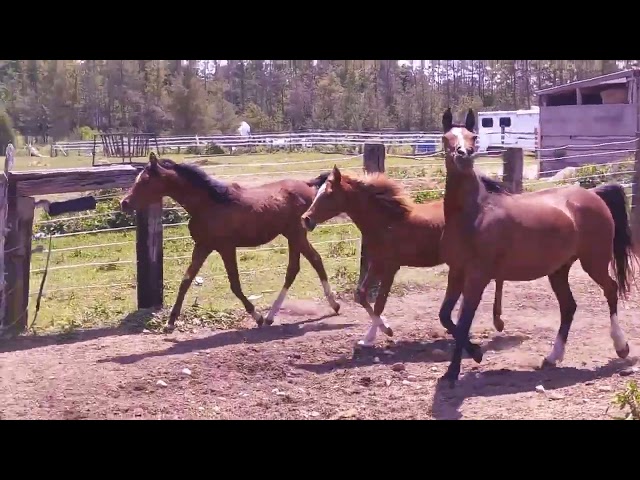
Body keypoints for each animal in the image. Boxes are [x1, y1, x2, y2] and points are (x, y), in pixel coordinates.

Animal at [120, 152, 340, 332]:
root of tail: (309, 185)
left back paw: (332, 305)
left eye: (145, 181)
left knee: (314, 260)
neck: (209, 204)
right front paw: (170, 323)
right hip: (291, 235)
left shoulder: (226, 248)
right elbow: (186, 281)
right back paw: (273, 316)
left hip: (296, 234)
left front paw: (257, 317)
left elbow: (234, 284)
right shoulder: (203, 246)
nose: (124, 203)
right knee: (295, 268)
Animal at [300, 165, 507, 347]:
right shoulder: (377, 262)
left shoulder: (391, 266)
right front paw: (374, 334)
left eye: (329, 194)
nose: (306, 219)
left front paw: (380, 333)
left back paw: (496, 323)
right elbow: (361, 294)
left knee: (497, 279)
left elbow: (380, 303)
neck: (387, 221)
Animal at [438, 106, 637, 386]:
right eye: (446, 138)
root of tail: (593, 194)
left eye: (473, 137)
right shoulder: (456, 272)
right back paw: (553, 357)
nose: (463, 156)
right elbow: (446, 317)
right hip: (559, 270)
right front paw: (473, 354)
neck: (475, 213)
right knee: (569, 306)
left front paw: (454, 371)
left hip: (594, 261)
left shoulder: (477, 276)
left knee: (611, 289)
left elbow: (464, 321)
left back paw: (621, 346)